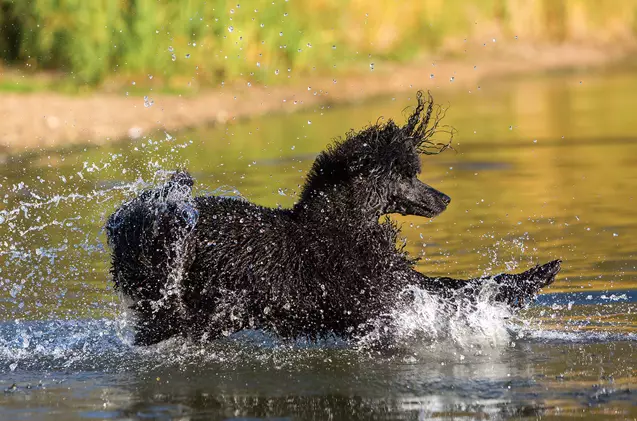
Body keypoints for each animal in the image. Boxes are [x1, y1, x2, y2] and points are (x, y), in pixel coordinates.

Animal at [107, 92, 560, 344]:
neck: (337, 225)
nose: (444, 198)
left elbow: (453, 287)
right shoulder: (378, 288)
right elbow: (454, 291)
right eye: (407, 175)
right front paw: (536, 275)